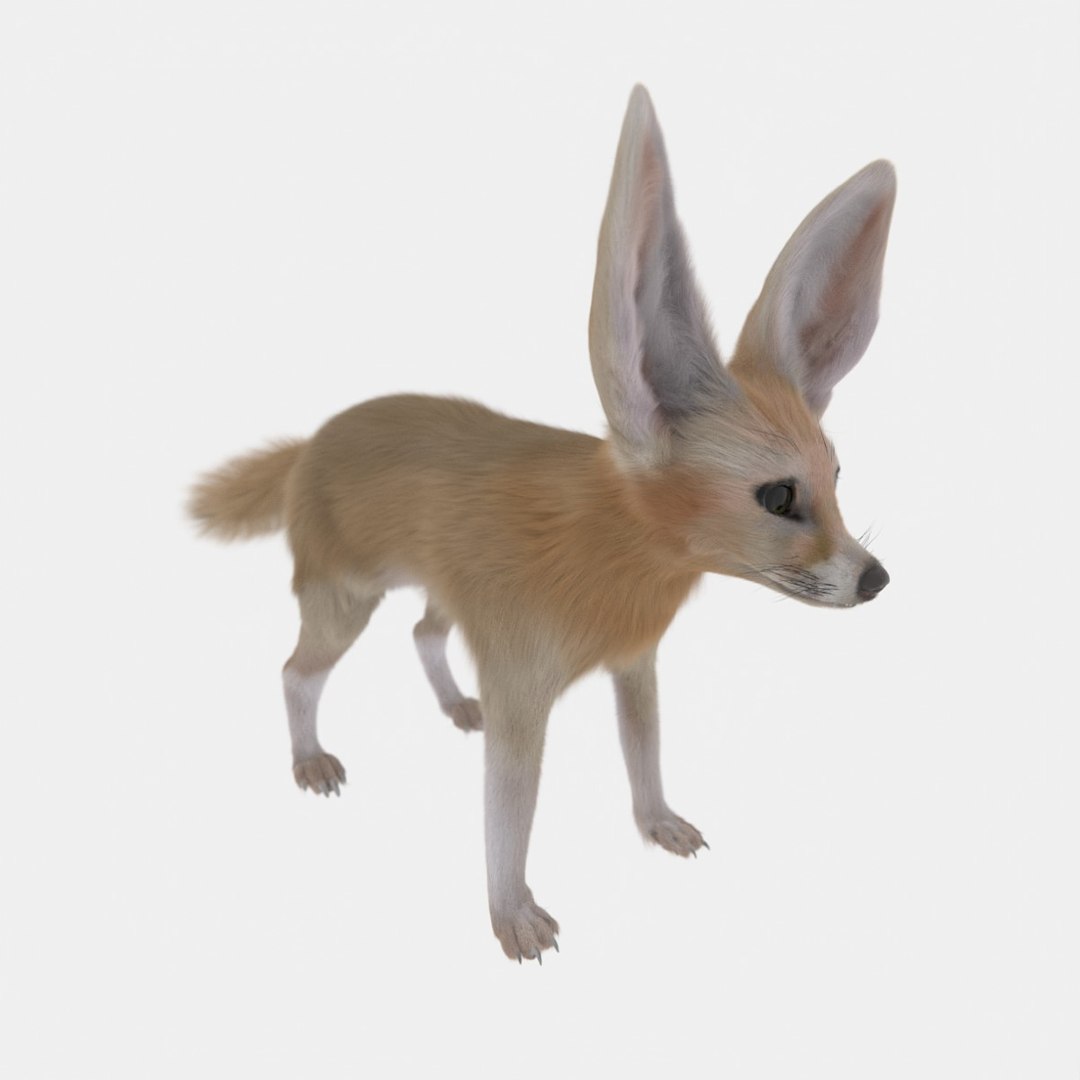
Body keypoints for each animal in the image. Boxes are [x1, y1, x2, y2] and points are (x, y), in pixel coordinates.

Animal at [189, 85, 895, 963]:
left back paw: (454, 707)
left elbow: (644, 753)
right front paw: (511, 916)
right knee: (295, 673)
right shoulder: (523, 691)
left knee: (422, 632)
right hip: (343, 603)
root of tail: (312, 441)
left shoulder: (631, 663)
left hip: (437, 594)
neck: (610, 552)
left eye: (837, 479)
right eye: (778, 498)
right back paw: (310, 758)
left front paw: (657, 824)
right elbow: (509, 817)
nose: (876, 578)